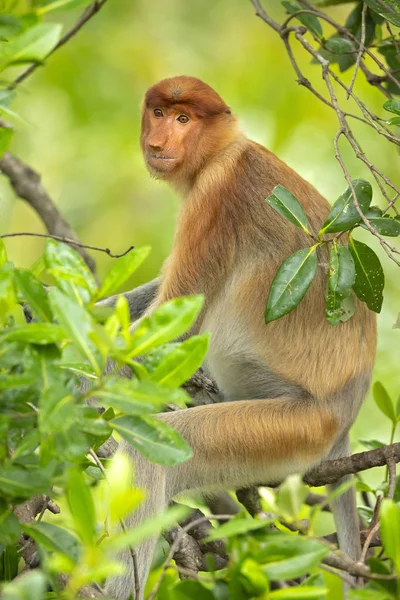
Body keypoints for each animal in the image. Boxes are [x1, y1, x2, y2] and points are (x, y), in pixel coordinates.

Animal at [104, 77, 376, 596]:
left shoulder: (214, 198)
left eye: (184, 119)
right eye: (159, 113)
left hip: (292, 429)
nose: (158, 142)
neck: (223, 150)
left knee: (158, 452)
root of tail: (346, 415)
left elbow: (175, 323)